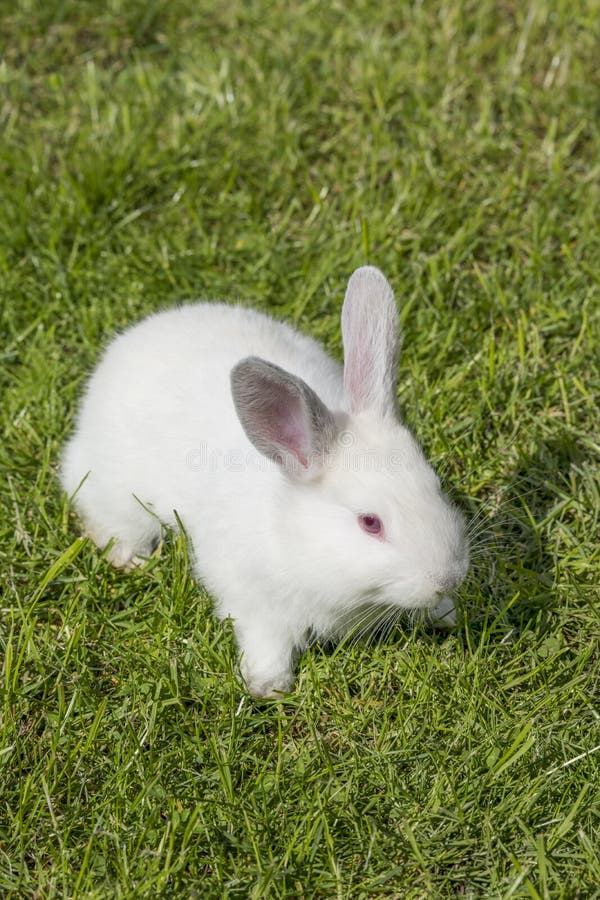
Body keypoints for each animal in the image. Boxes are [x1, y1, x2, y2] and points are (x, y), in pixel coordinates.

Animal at [61, 266, 469, 697]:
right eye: (369, 523)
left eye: (436, 486)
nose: (449, 577)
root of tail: (133, 339)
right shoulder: (255, 604)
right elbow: (267, 642)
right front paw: (268, 687)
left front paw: (445, 614)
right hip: (116, 494)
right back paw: (131, 560)